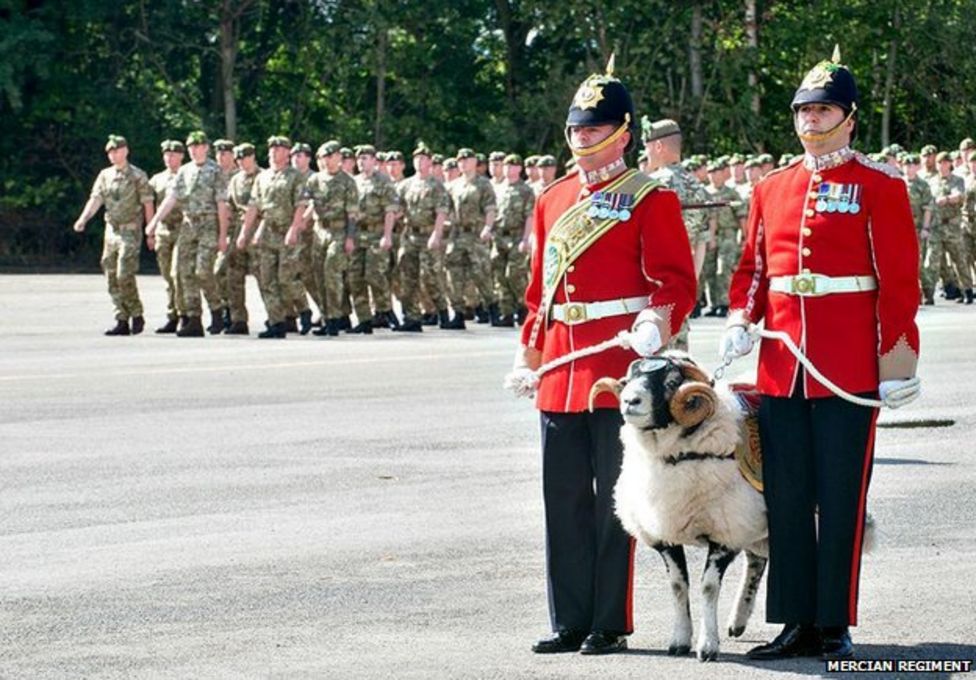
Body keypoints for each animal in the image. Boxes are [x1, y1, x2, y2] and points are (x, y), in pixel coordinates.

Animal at [589, 351, 768, 662]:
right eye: (630, 378)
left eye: (672, 382)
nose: (630, 401)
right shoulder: (666, 536)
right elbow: (677, 586)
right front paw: (680, 641)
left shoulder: (726, 532)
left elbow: (708, 587)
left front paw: (707, 646)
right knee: (757, 561)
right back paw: (738, 621)